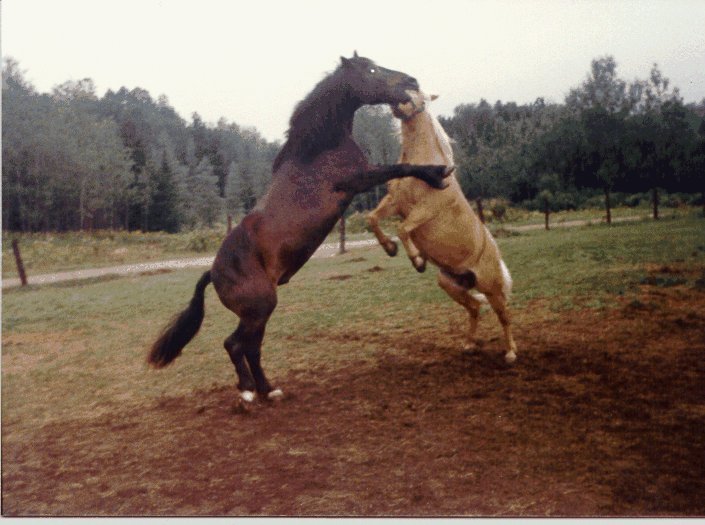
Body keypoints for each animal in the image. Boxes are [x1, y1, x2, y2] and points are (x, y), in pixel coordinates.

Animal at [147, 53, 454, 403]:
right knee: (235, 345)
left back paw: (269, 390)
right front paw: (437, 174)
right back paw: (249, 392)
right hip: (260, 308)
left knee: (251, 349)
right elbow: (401, 168)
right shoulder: (359, 179)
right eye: (372, 69)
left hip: (257, 315)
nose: (411, 81)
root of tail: (213, 273)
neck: (319, 150)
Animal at [366, 90, 517, 364]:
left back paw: (511, 353)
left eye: (419, 95)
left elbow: (404, 229)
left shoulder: (424, 210)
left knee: (504, 315)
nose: (397, 102)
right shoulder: (395, 202)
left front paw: (417, 260)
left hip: (491, 288)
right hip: (450, 284)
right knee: (475, 308)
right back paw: (468, 345)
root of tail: (495, 254)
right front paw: (390, 248)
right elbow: (372, 219)